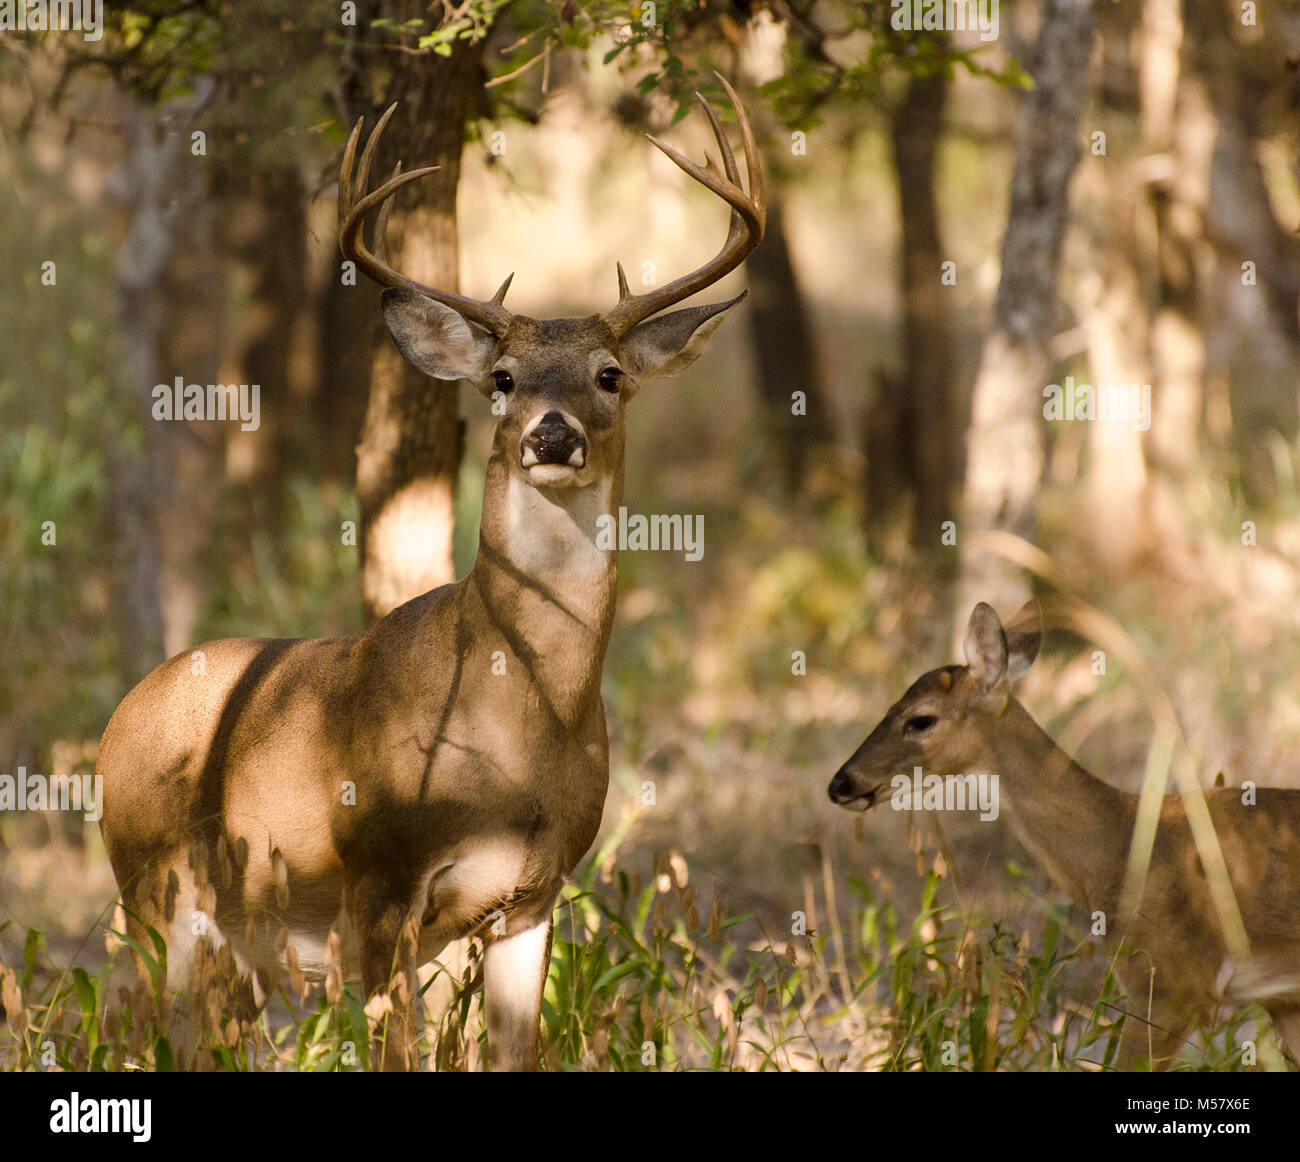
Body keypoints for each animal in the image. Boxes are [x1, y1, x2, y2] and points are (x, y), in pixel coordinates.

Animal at [96, 75, 764, 1072]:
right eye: (503, 377)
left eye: (609, 373)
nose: (550, 434)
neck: (522, 722)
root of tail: (115, 723)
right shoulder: (377, 882)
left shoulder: (532, 896)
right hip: (154, 893)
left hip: (242, 939)